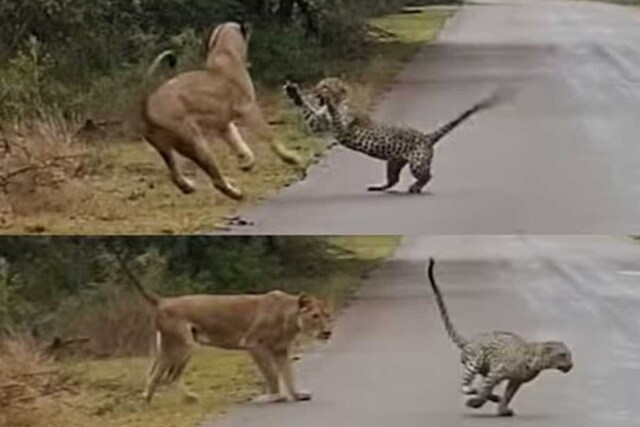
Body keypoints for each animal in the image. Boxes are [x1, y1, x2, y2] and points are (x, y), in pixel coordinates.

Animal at [125, 269, 333, 404]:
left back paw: (149, 400)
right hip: (183, 345)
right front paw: (273, 396)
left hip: (169, 346)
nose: (328, 332)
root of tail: (162, 301)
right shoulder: (254, 343)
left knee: (155, 373)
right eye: (315, 316)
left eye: (327, 315)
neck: (289, 318)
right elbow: (272, 374)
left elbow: (288, 375)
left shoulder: (280, 350)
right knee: (167, 376)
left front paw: (296, 395)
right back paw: (185, 399)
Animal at [141, 22, 304, 200]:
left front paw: (247, 162)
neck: (224, 50)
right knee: (215, 180)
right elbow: (269, 136)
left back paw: (190, 186)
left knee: (176, 175)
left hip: (169, 149)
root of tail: (147, 106)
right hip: (196, 143)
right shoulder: (248, 108)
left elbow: (237, 140)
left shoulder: (223, 123)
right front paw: (291, 158)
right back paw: (236, 193)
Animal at [426, 257, 573, 417]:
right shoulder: (497, 372)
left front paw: (502, 408)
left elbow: (507, 395)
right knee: (466, 385)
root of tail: (471, 340)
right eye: (562, 355)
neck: (537, 361)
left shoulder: (515, 380)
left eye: (569, 355)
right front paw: (477, 403)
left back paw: (492, 396)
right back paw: (474, 391)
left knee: (480, 385)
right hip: (476, 361)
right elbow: (486, 389)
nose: (571, 365)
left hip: (484, 369)